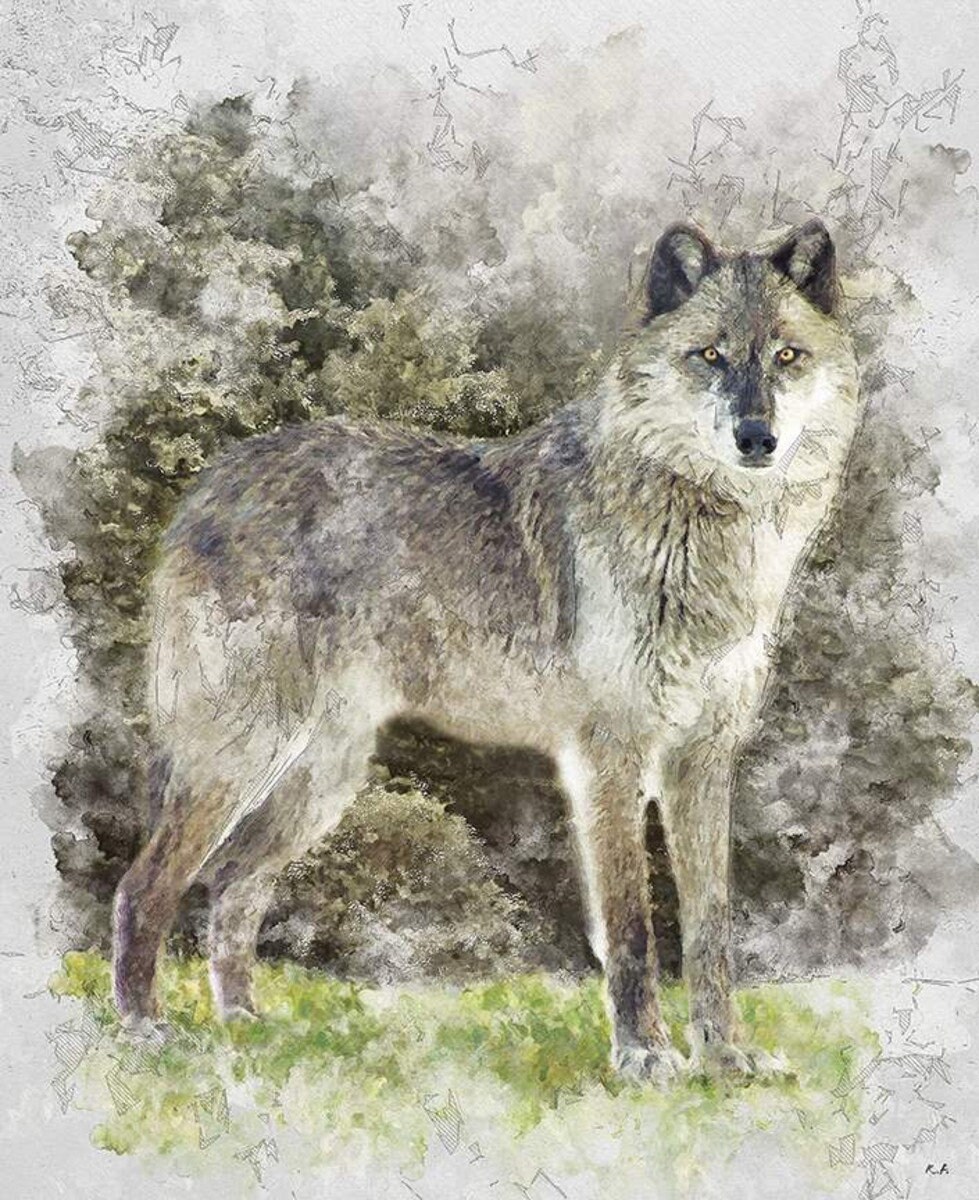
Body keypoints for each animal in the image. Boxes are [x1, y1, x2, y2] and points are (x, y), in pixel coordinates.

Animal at [112, 218, 862, 1080]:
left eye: (785, 356)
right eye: (708, 354)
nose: (755, 437)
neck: (702, 539)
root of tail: (209, 483)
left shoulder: (701, 759)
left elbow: (710, 930)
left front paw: (726, 1060)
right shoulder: (608, 758)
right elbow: (631, 928)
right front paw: (644, 1056)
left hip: (320, 778)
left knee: (232, 884)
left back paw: (245, 1026)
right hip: (242, 757)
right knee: (144, 885)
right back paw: (144, 1028)